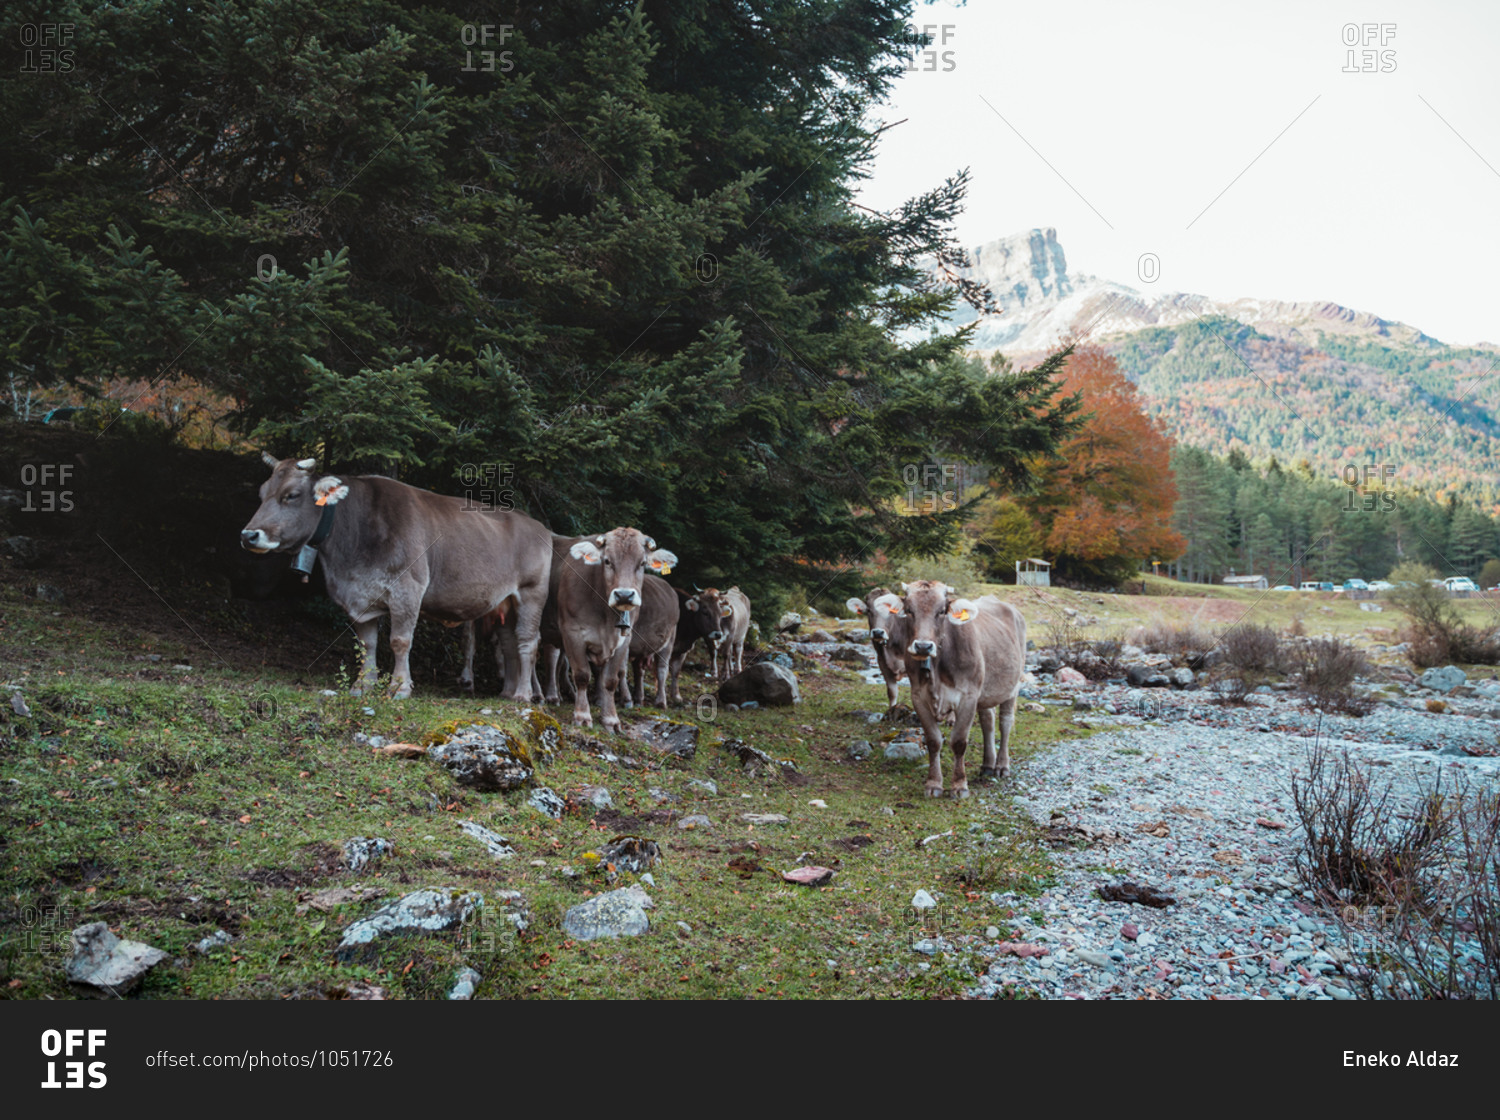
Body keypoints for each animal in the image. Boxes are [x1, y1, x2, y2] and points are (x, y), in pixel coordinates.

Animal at [240, 455, 552, 700]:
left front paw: (399, 687)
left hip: (531, 594)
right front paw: (362, 685)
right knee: (509, 644)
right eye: (262, 494)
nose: (248, 534)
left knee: (527, 642)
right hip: (504, 604)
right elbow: (367, 644)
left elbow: (399, 641)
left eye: (291, 494)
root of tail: (539, 526)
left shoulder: (408, 589)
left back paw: (524, 695)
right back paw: (508, 693)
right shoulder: (360, 596)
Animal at [539, 527, 678, 730]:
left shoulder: (623, 640)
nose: (624, 595)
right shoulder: (572, 633)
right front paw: (582, 715)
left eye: (642, 563)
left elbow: (610, 680)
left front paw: (611, 719)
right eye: (607, 561)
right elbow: (582, 675)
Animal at [898, 580, 1027, 799]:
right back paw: (987, 765)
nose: (923, 646)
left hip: (1012, 686)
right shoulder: (918, 696)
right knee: (988, 721)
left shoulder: (968, 696)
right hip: (986, 689)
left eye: (941, 611)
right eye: (908, 610)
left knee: (1005, 722)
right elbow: (933, 741)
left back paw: (1002, 766)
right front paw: (933, 784)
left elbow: (959, 741)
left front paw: (959, 786)